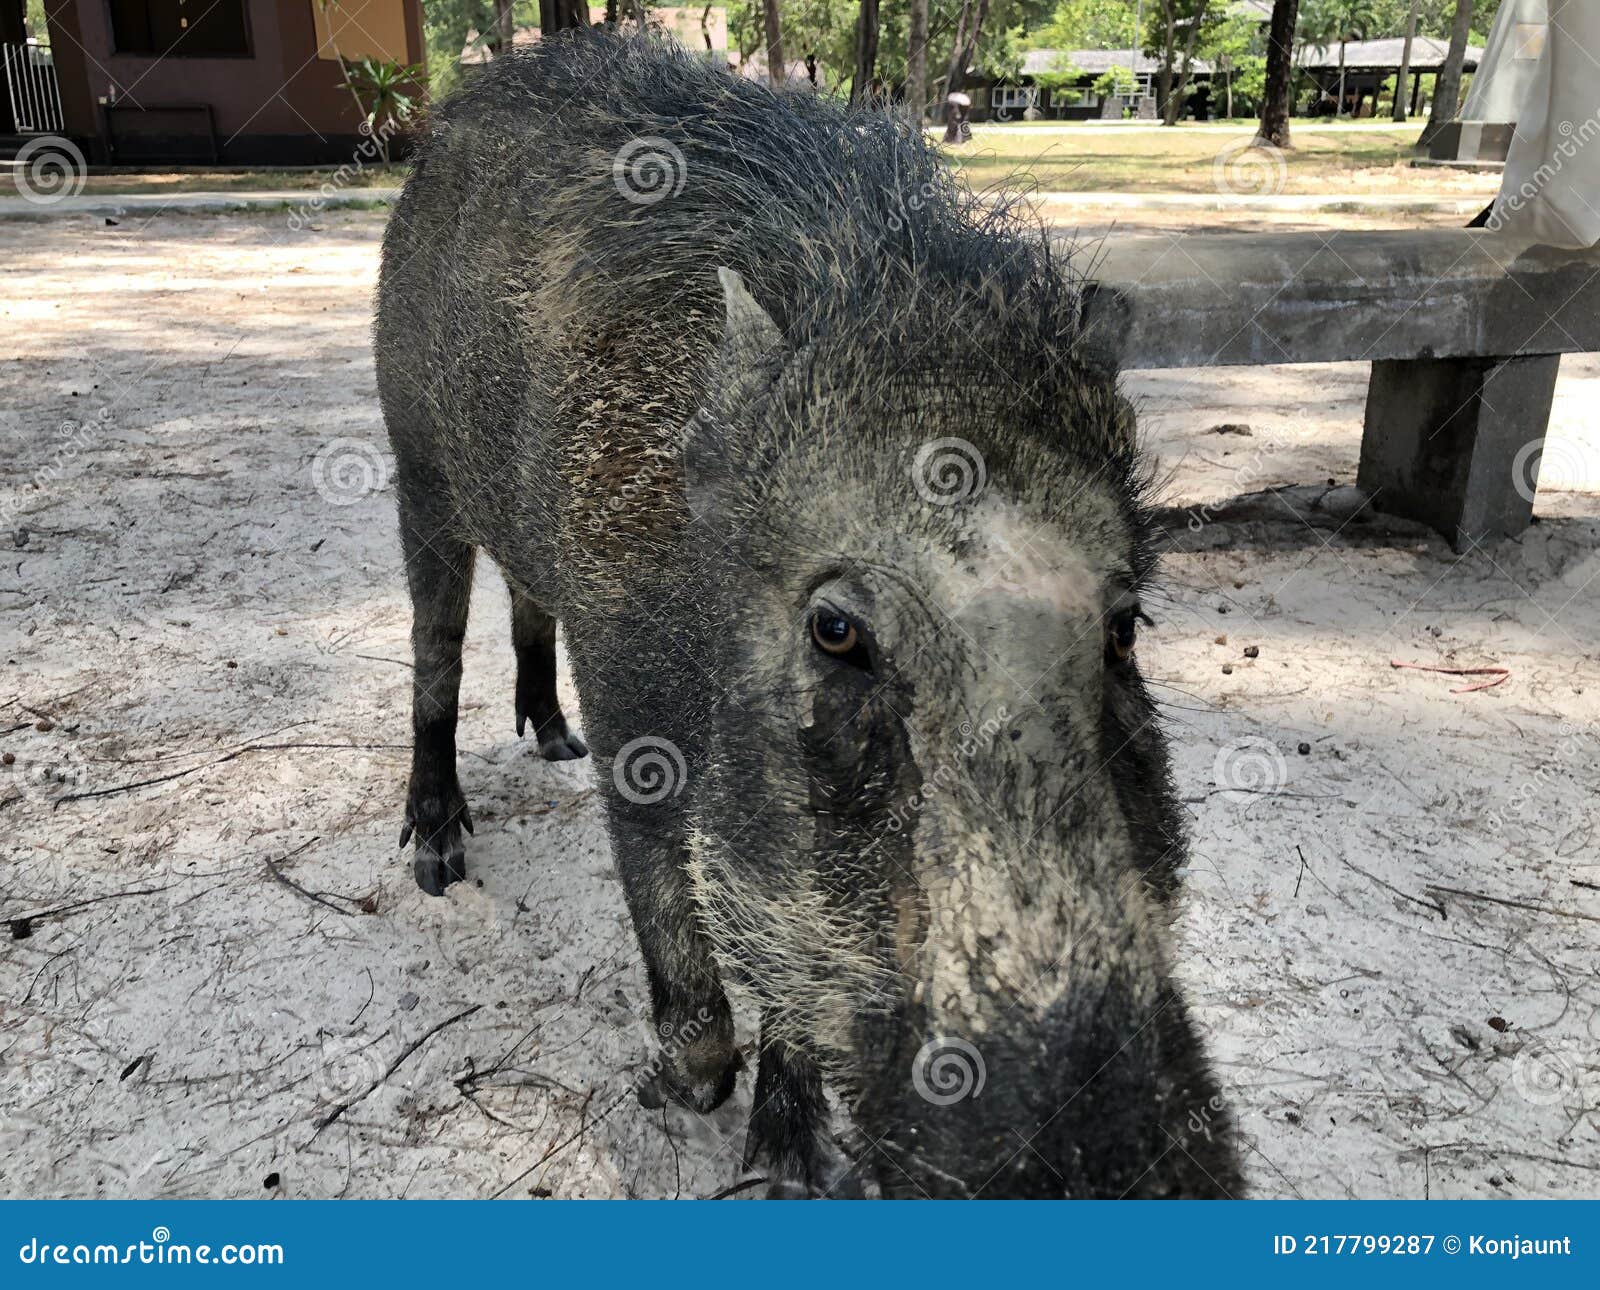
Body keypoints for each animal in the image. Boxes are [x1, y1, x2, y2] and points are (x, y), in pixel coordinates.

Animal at [374, 29, 1240, 1198]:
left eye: (1124, 626)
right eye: (837, 630)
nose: (1115, 1169)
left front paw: (787, 1163)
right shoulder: (633, 723)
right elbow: (692, 964)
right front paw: (673, 1092)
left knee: (522, 602)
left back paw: (548, 741)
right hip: (416, 468)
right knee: (436, 649)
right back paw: (437, 857)